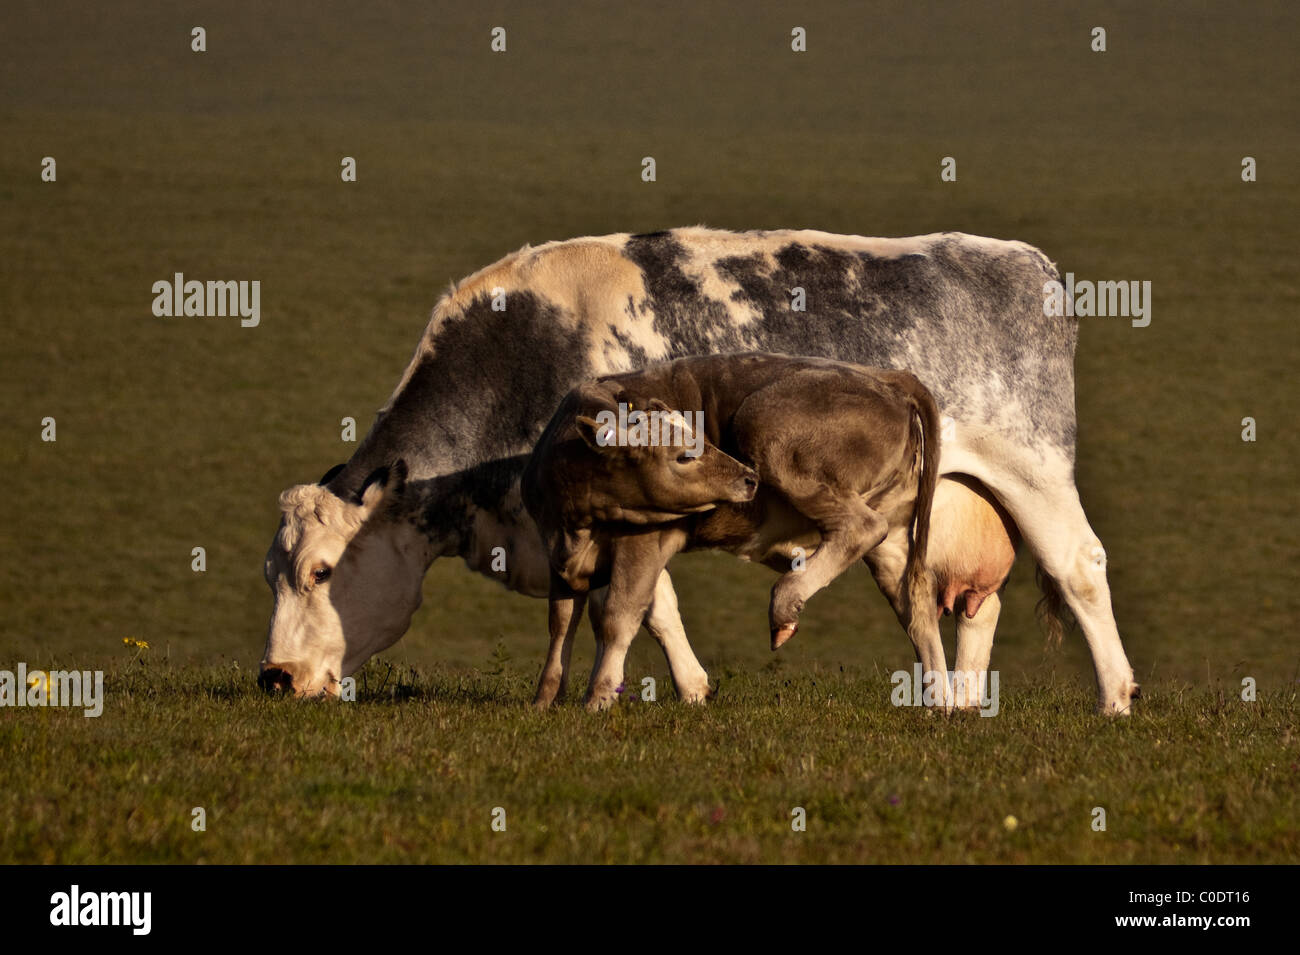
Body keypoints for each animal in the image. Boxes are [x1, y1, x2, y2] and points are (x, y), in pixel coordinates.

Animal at [522, 353, 942, 710]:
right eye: (683, 455)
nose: (749, 477)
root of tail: (884, 375)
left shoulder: (643, 541)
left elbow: (619, 615)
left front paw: (598, 696)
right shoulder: (559, 555)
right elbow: (569, 621)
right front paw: (547, 698)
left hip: (773, 438)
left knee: (862, 527)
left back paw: (785, 600)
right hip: (896, 532)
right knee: (915, 602)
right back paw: (941, 700)